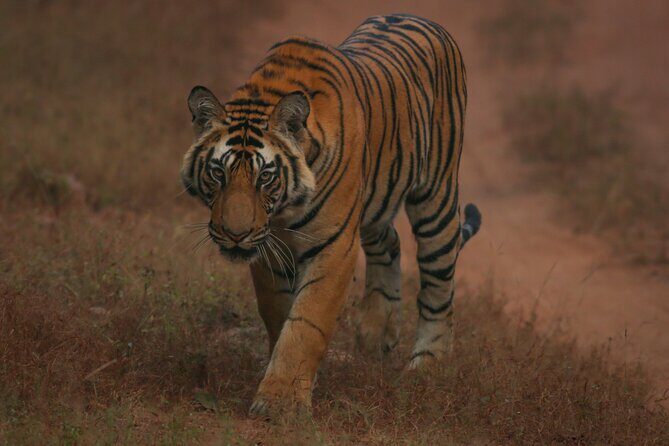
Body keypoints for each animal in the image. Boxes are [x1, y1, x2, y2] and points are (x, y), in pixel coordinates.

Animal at [180, 13, 481, 416]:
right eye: (218, 173)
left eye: (265, 176)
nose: (235, 234)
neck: (283, 211)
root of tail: (420, 17)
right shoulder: (270, 249)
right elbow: (278, 314)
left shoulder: (335, 246)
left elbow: (307, 322)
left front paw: (280, 402)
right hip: (375, 201)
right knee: (389, 241)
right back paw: (376, 331)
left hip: (436, 197)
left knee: (439, 284)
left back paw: (427, 366)